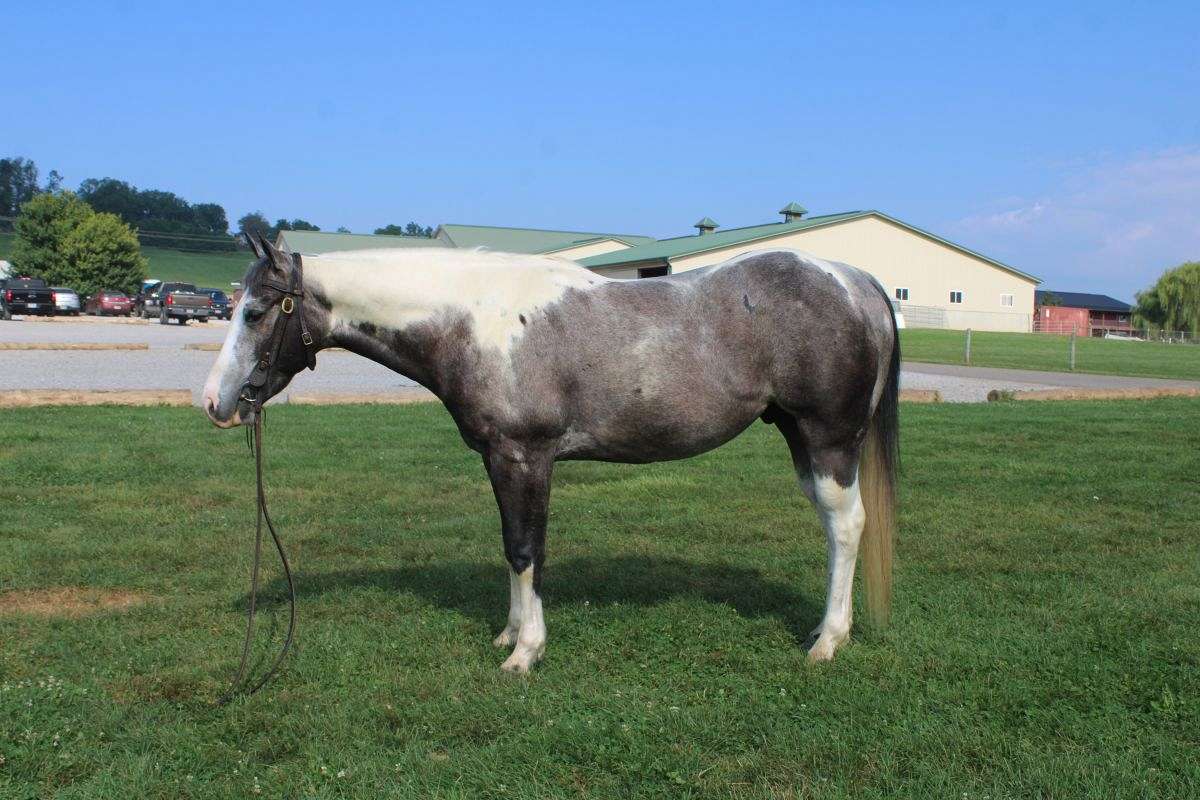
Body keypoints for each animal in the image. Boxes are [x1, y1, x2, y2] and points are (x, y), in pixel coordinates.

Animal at [203, 234, 899, 673]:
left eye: (256, 311)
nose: (215, 401)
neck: (474, 322)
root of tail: (856, 281)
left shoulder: (524, 457)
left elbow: (525, 550)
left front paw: (525, 652)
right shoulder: (499, 460)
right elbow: (512, 547)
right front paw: (509, 634)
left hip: (828, 441)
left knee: (846, 528)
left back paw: (828, 642)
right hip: (802, 441)